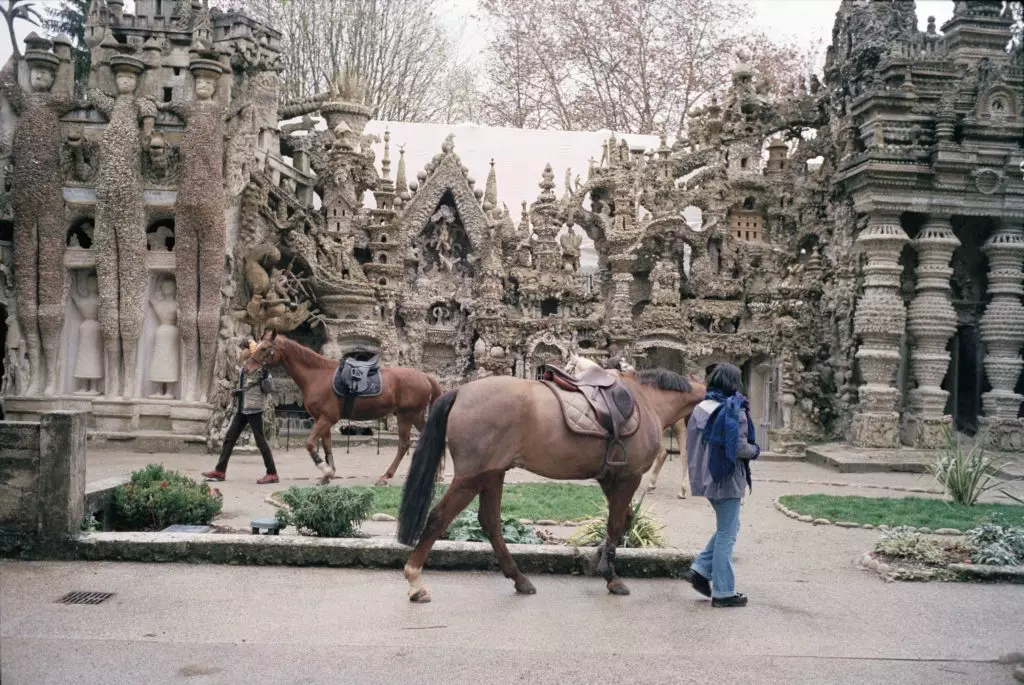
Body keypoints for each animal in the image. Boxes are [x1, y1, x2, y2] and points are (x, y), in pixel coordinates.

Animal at [250, 329, 440, 481]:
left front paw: (325, 469)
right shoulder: (322, 420)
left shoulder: (327, 418)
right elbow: (327, 446)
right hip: (415, 416)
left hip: (406, 416)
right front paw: (328, 475)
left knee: (404, 445)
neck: (318, 375)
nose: (248, 366)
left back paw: (386, 476)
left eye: (264, 348)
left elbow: (310, 443)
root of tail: (425, 377)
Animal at [393, 366, 704, 602]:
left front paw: (597, 559)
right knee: (439, 517)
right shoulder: (629, 477)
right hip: (472, 477)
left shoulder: (610, 477)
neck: (647, 401)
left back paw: (519, 579)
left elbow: (623, 521)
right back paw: (415, 581)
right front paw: (611, 576)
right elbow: (616, 524)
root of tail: (460, 392)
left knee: (490, 522)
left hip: (493, 473)